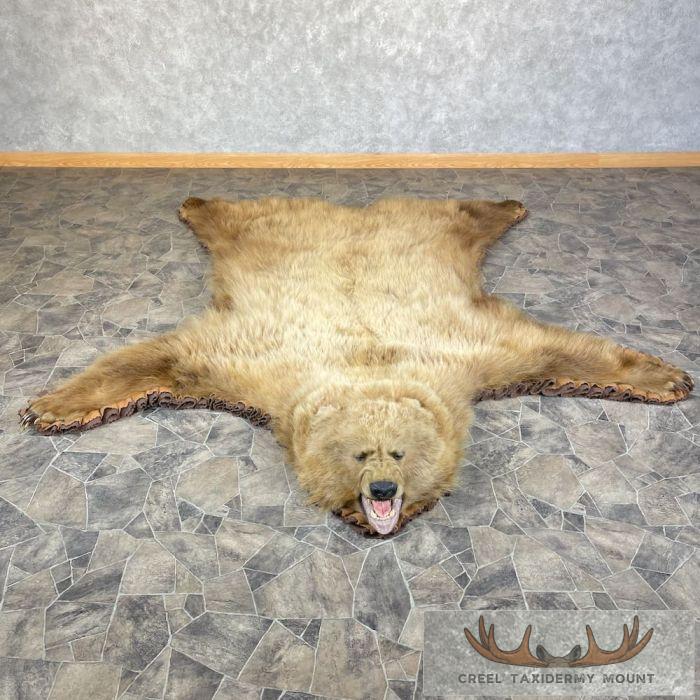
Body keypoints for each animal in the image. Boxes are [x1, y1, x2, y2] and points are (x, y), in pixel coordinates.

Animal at [21, 196, 693, 535]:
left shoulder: (472, 346)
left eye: (400, 452)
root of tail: (349, 210)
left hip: (433, 229)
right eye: (358, 454)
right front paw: (49, 407)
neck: (364, 364)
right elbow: (156, 359)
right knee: (231, 212)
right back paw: (194, 199)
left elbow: (561, 349)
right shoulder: (249, 354)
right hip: (256, 230)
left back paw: (509, 202)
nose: (382, 493)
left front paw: (667, 377)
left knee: (462, 212)